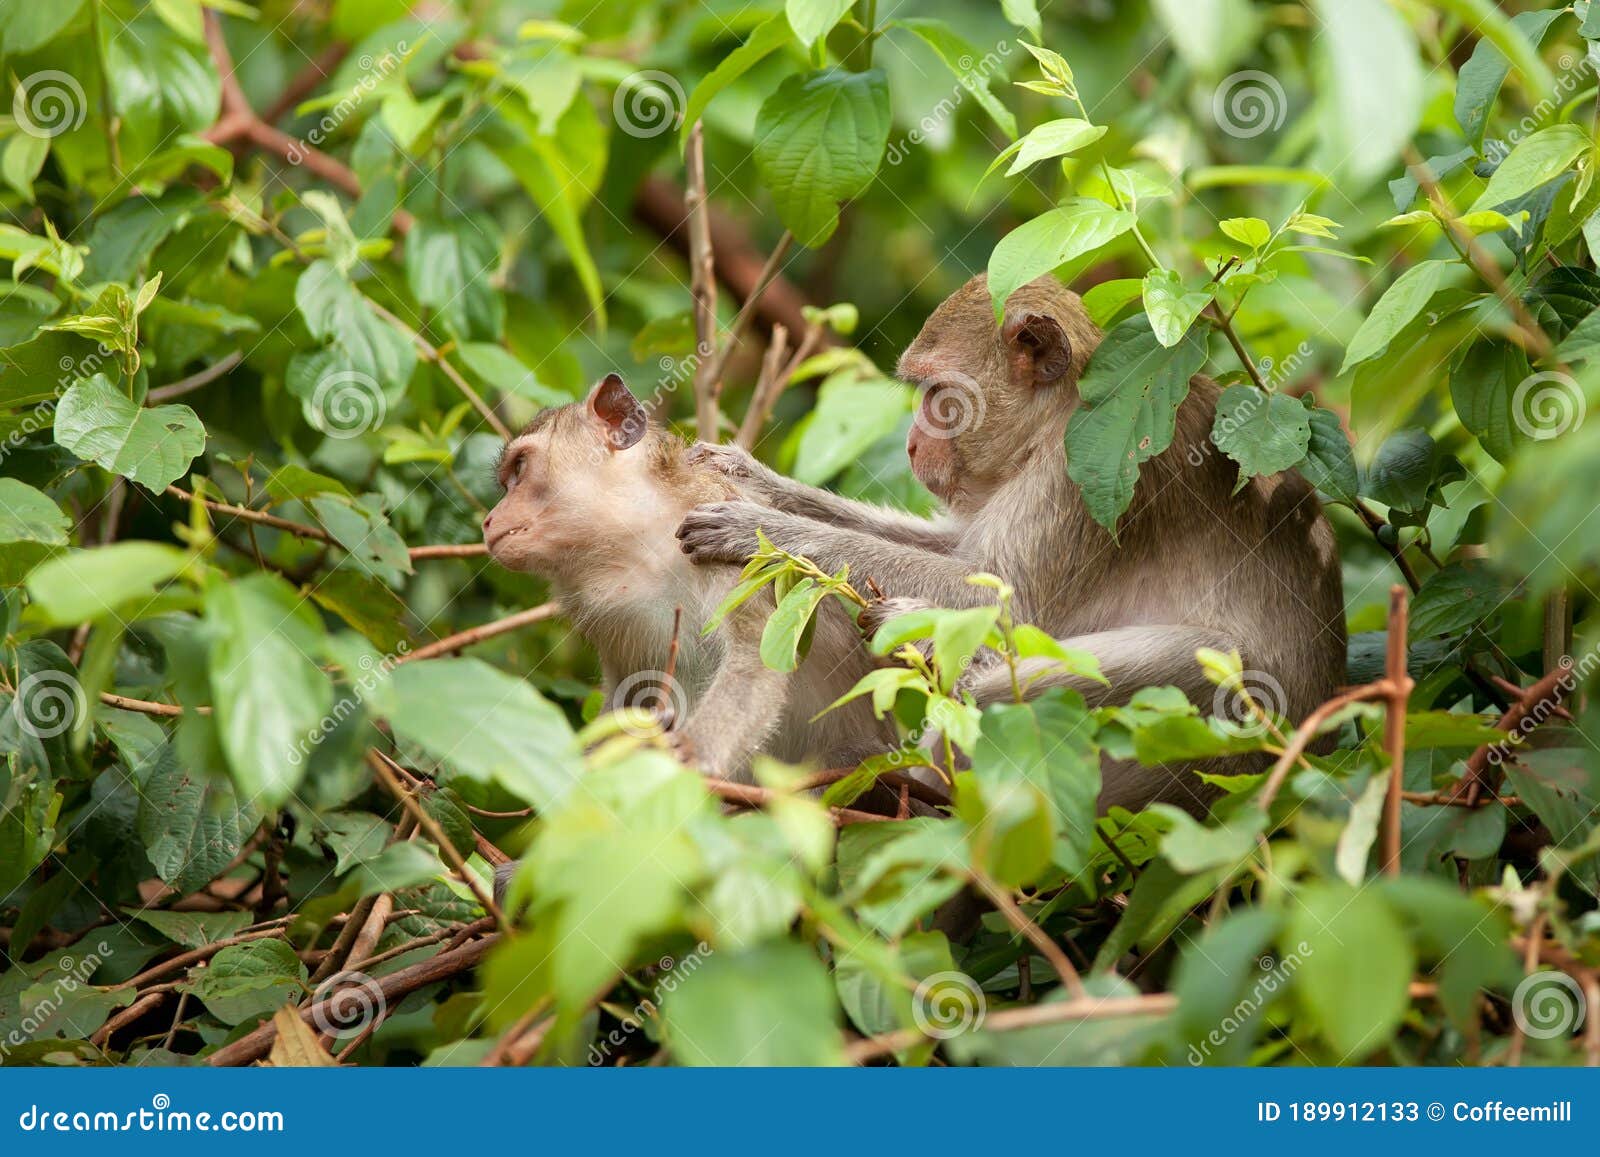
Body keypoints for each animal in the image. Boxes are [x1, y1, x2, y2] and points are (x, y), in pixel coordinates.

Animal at [482, 372, 897, 785]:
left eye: (520, 467)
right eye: (507, 479)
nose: (488, 521)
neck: (638, 543)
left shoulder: (722, 545)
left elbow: (756, 654)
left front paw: (696, 751)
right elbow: (623, 694)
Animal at [675, 273, 1346, 813]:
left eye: (935, 394)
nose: (912, 444)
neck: (1057, 420)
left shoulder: (1087, 473)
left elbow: (1004, 599)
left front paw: (760, 533)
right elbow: (960, 557)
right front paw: (751, 479)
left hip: (1227, 754)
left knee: (1202, 663)